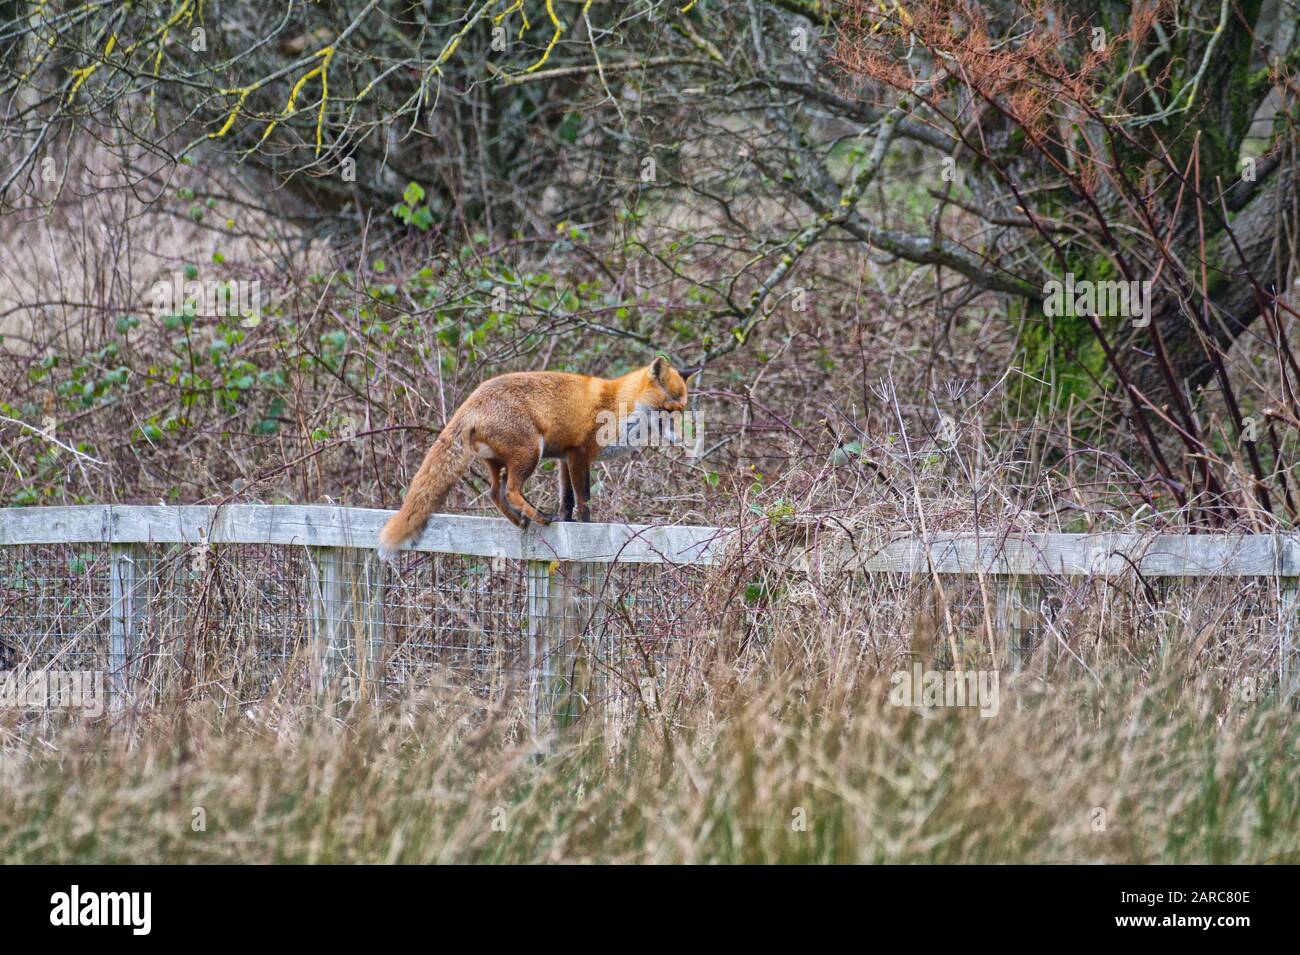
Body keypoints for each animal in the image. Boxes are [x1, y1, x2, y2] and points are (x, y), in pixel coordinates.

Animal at [376, 356, 691, 561]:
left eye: (682, 410)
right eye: (667, 409)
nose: (682, 436)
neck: (619, 405)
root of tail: (472, 400)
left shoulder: (564, 458)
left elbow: (567, 499)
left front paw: (567, 522)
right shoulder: (579, 454)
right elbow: (584, 499)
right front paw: (586, 529)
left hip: (499, 462)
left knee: (495, 492)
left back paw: (520, 521)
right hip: (530, 453)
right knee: (511, 490)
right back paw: (539, 517)